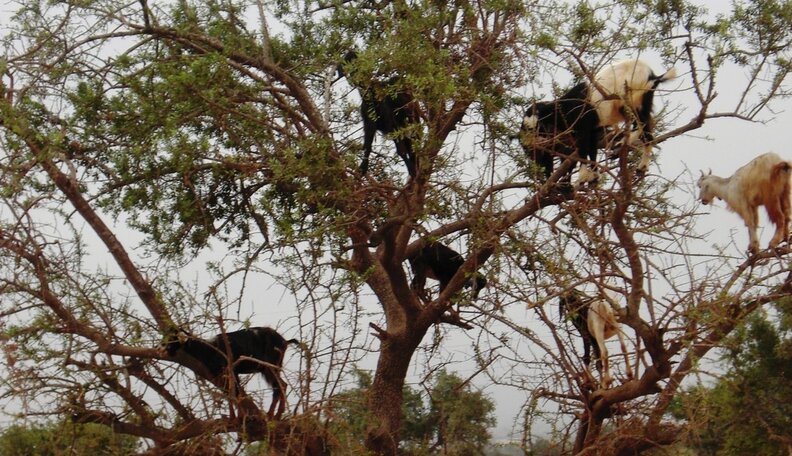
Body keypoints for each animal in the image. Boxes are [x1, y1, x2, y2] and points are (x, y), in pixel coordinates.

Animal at [165, 326, 299, 419]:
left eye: (173, 339)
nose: (165, 348)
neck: (209, 348)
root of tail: (285, 341)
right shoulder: (226, 374)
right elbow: (231, 392)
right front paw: (234, 417)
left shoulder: (230, 371)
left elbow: (235, 392)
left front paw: (239, 416)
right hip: (273, 367)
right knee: (281, 385)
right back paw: (276, 414)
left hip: (269, 366)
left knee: (280, 386)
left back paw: (273, 414)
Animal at [521, 59, 677, 185]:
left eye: (534, 129)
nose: (541, 171)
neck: (562, 110)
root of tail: (653, 76)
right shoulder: (593, 130)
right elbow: (592, 152)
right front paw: (594, 177)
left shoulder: (583, 126)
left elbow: (583, 151)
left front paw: (582, 178)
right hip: (643, 100)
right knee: (648, 132)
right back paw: (640, 165)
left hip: (630, 100)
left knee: (641, 124)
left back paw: (624, 146)